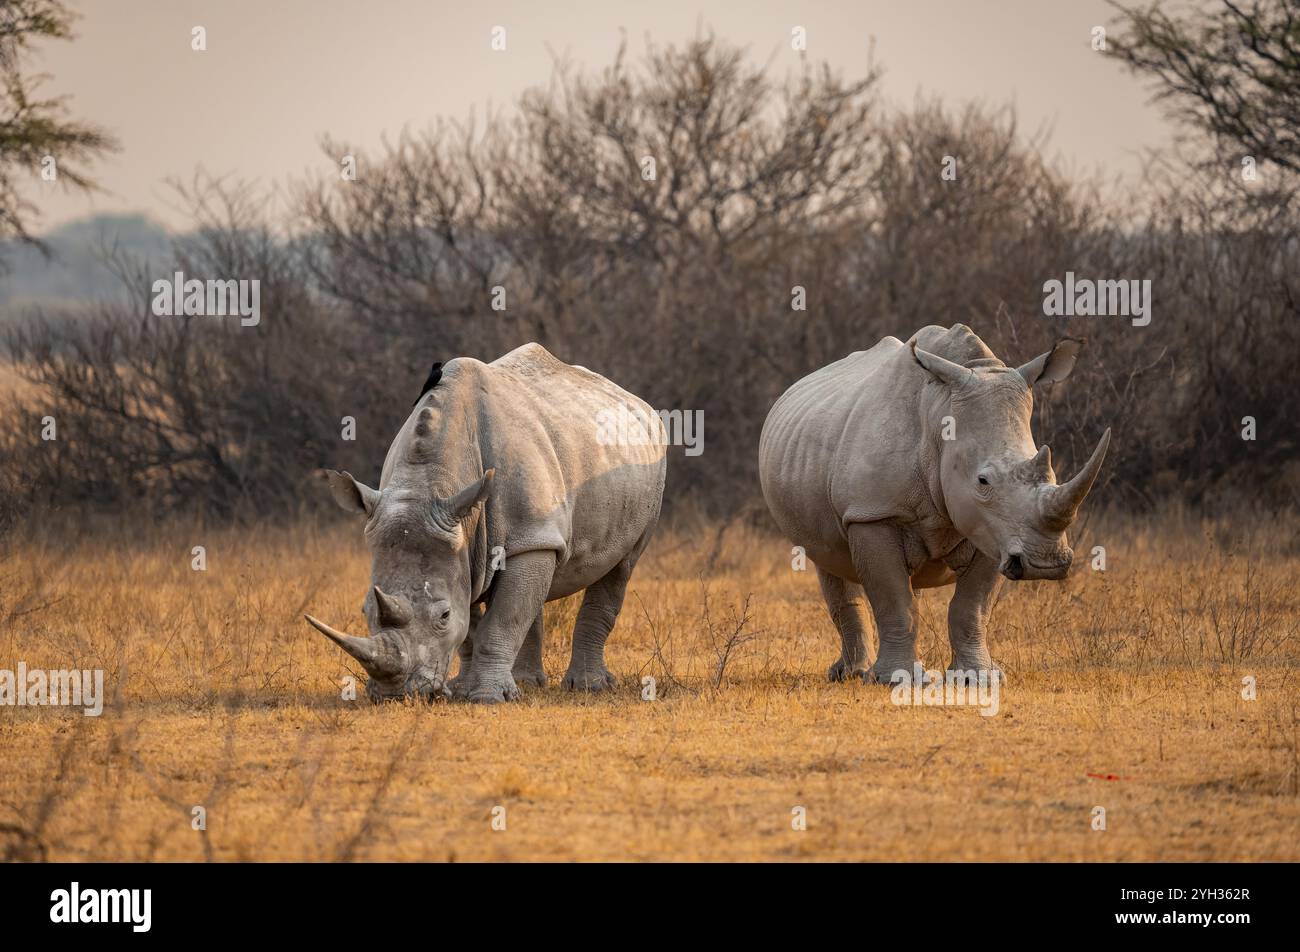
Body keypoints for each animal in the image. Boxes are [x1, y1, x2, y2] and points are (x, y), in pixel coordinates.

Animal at [305, 342, 666, 704]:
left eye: (443, 616)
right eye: (365, 610)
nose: (396, 695)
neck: (429, 484)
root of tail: (637, 402)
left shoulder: (494, 530)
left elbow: (501, 620)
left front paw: (487, 697)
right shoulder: (461, 532)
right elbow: (473, 622)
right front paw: (462, 690)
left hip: (646, 468)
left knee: (621, 565)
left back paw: (588, 686)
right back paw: (527, 683)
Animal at [758, 324, 1110, 684]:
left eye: (1052, 474)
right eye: (983, 482)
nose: (1045, 563)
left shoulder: (993, 529)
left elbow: (971, 608)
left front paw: (978, 678)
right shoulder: (873, 512)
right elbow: (895, 601)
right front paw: (895, 680)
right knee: (826, 559)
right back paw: (850, 675)